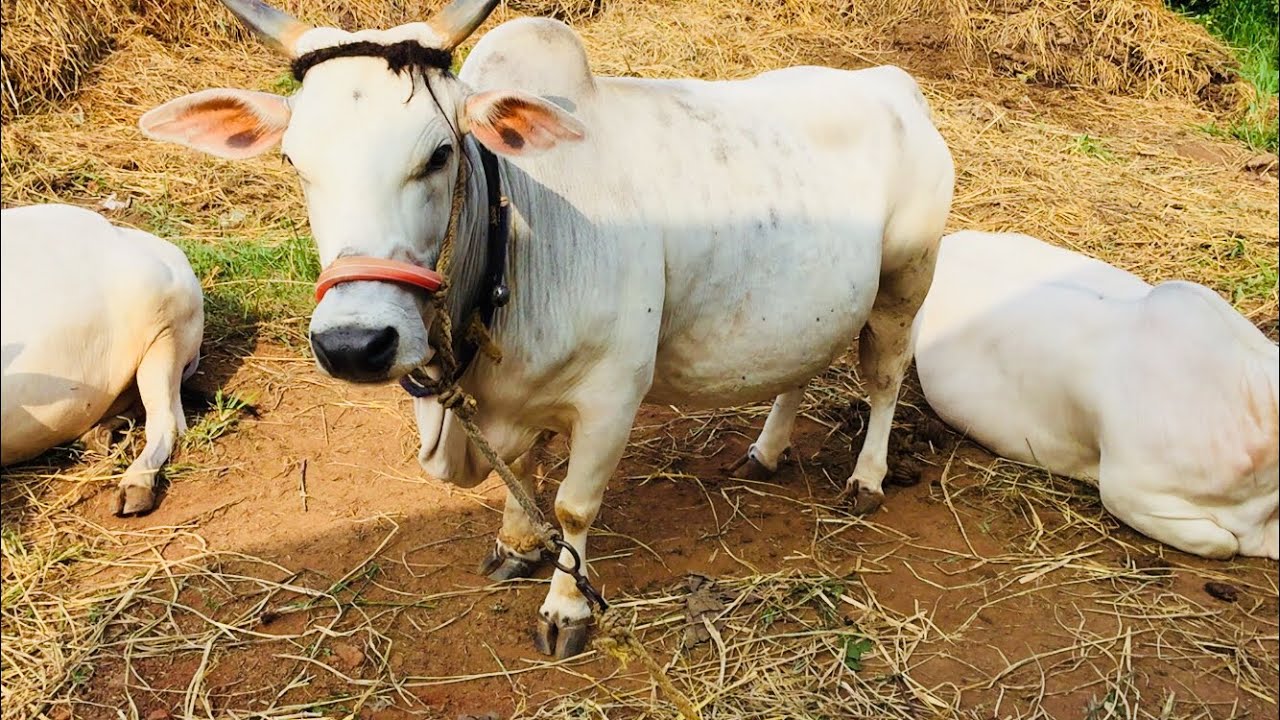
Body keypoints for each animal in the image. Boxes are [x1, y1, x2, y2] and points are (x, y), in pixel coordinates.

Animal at [139, 0, 955, 656]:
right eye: (293, 159)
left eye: (440, 153)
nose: (353, 344)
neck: (515, 236)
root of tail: (893, 82)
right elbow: (525, 475)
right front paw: (517, 543)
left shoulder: (612, 395)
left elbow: (573, 503)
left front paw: (565, 608)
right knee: (802, 370)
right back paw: (768, 450)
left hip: (905, 282)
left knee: (885, 378)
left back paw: (866, 477)